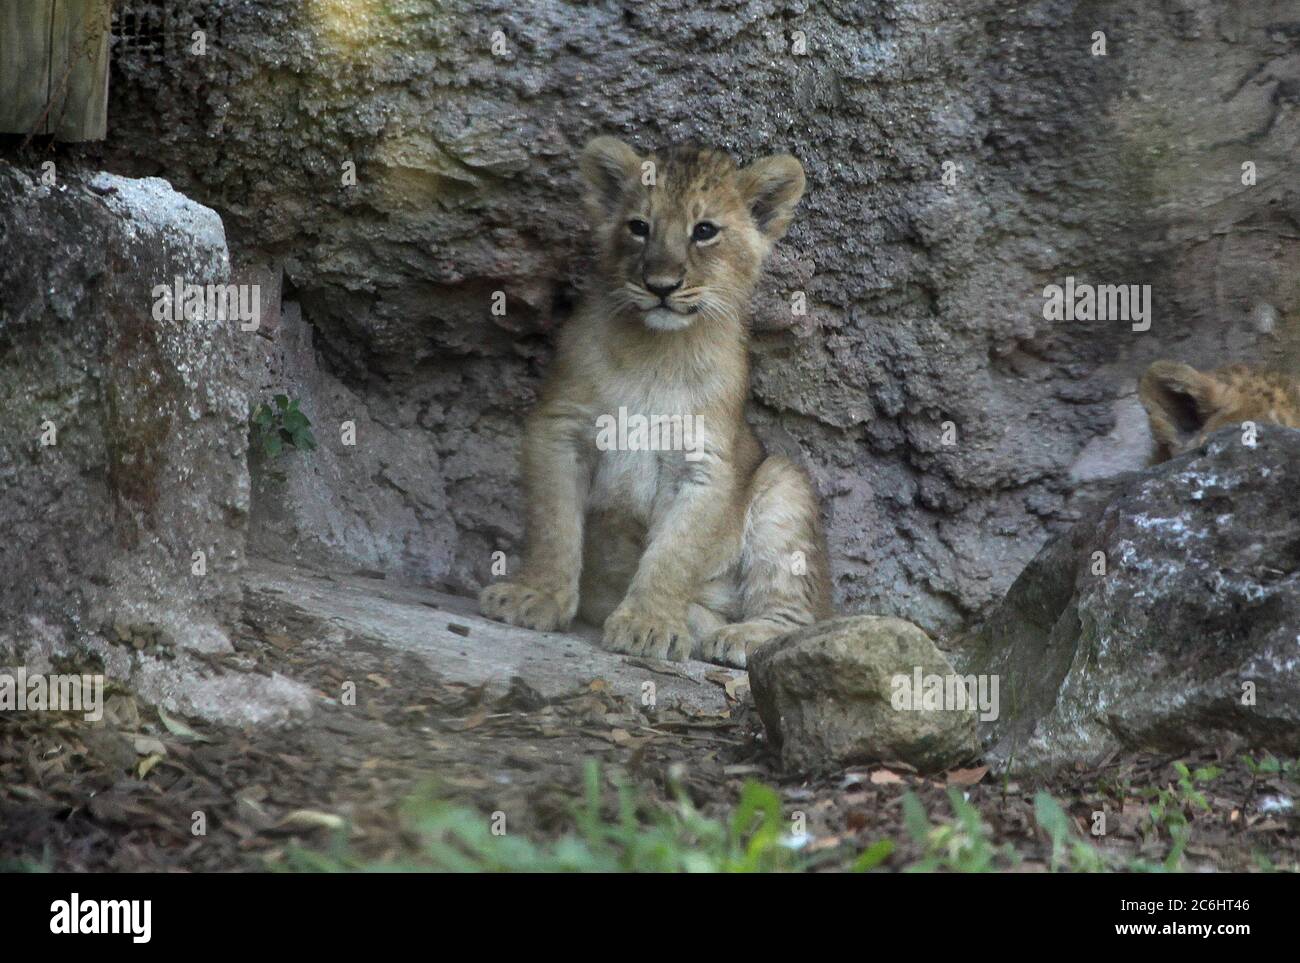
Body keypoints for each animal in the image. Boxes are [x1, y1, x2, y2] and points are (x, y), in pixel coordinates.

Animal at [478, 137, 832, 667]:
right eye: (639, 227)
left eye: (704, 231)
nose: (660, 285)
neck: (658, 351)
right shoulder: (560, 428)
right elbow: (552, 526)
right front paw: (535, 596)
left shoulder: (704, 461)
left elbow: (674, 554)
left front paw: (648, 625)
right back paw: (702, 626)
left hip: (783, 482)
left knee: (794, 614)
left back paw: (740, 639)